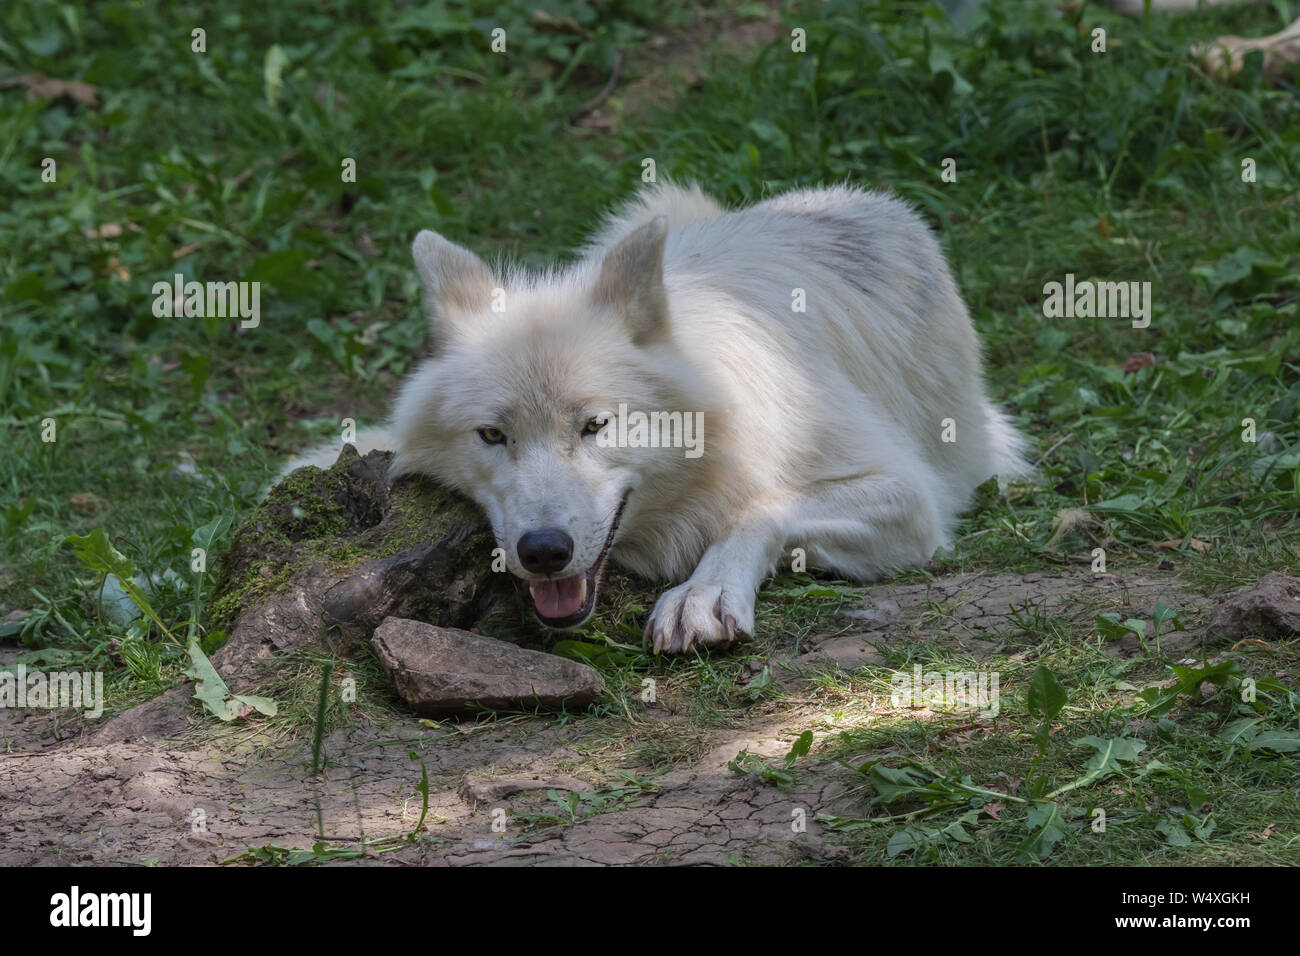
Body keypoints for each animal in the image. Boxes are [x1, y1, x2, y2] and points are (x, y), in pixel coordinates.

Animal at [298, 183, 1028, 653]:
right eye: (493, 435)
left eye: (596, 426)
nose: (543, 551)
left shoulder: (911, 500)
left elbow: (760, 510)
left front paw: (701, 595)